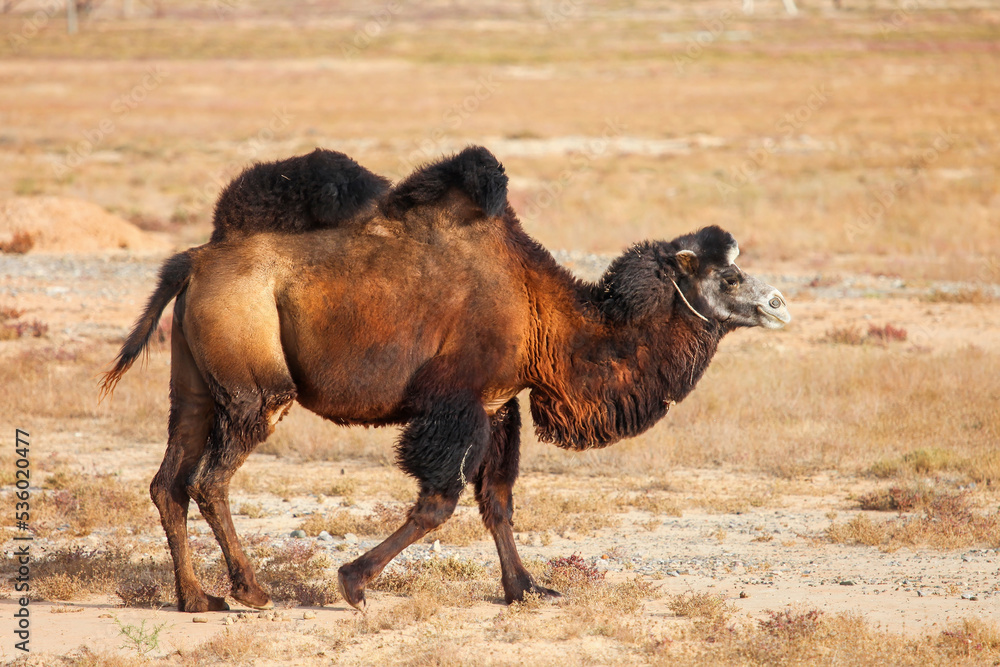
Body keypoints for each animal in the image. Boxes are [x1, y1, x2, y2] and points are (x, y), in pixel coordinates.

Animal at [101, 146, 790, 613]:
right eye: (730, 277)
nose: (780, 304)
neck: (541, 312)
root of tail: (193, 262)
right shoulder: (454, 404)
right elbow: (439, 501)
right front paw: (352, 582)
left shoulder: (497, 404)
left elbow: (499, 500)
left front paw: (527, 588)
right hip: (256, 386)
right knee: (210, 479)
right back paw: (251, 589)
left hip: (193, 383)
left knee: (169, 481)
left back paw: (196, 597)